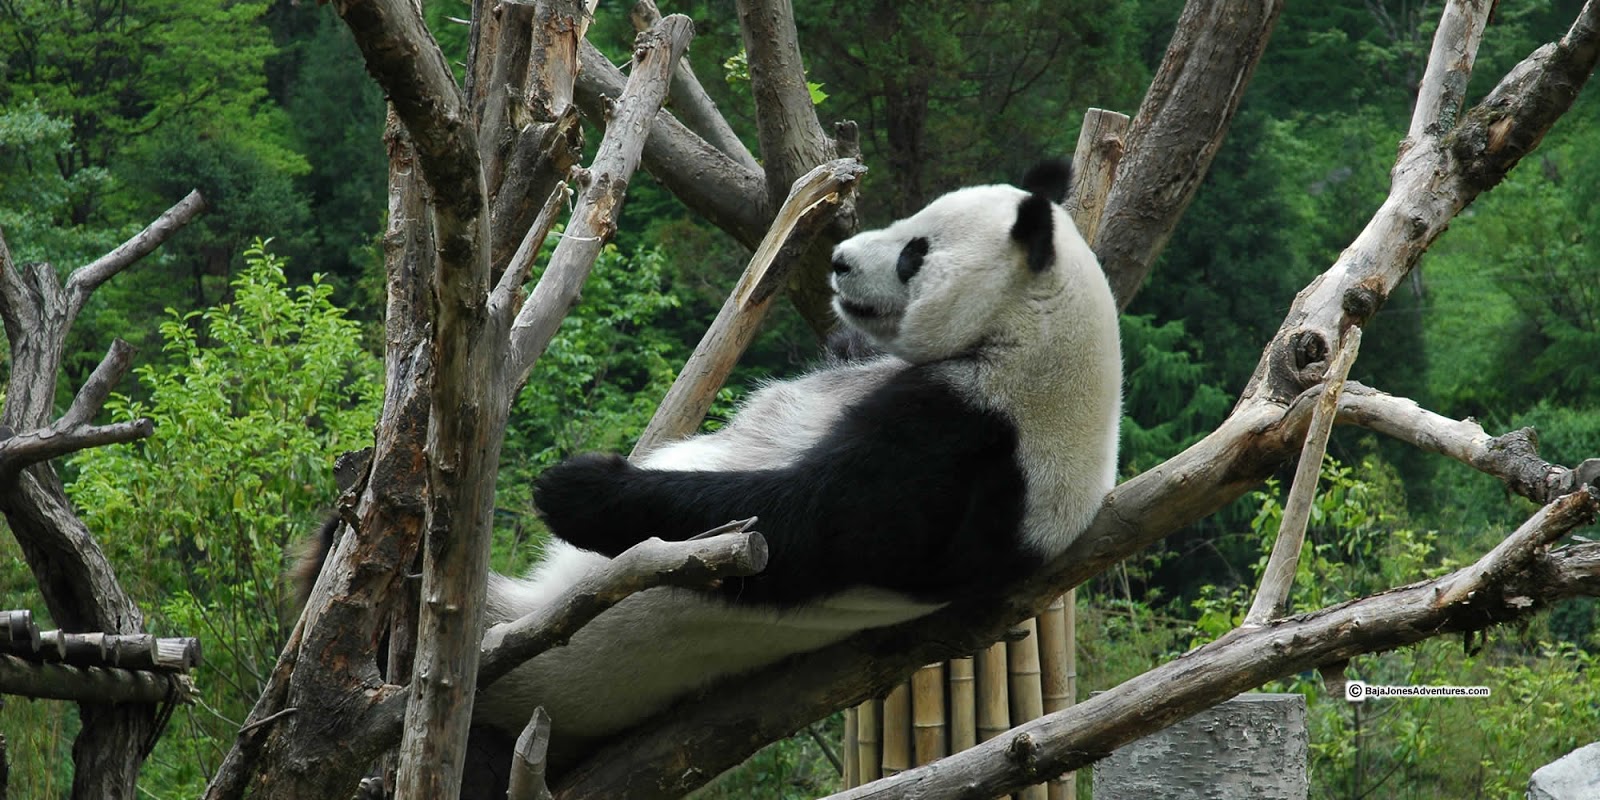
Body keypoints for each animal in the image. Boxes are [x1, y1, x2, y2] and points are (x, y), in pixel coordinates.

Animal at [473, 158, 1124, 768]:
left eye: (914, 253)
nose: (838, 261)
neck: (1037, 339)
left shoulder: (972, 442)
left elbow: (791, 528)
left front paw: (576, 487)